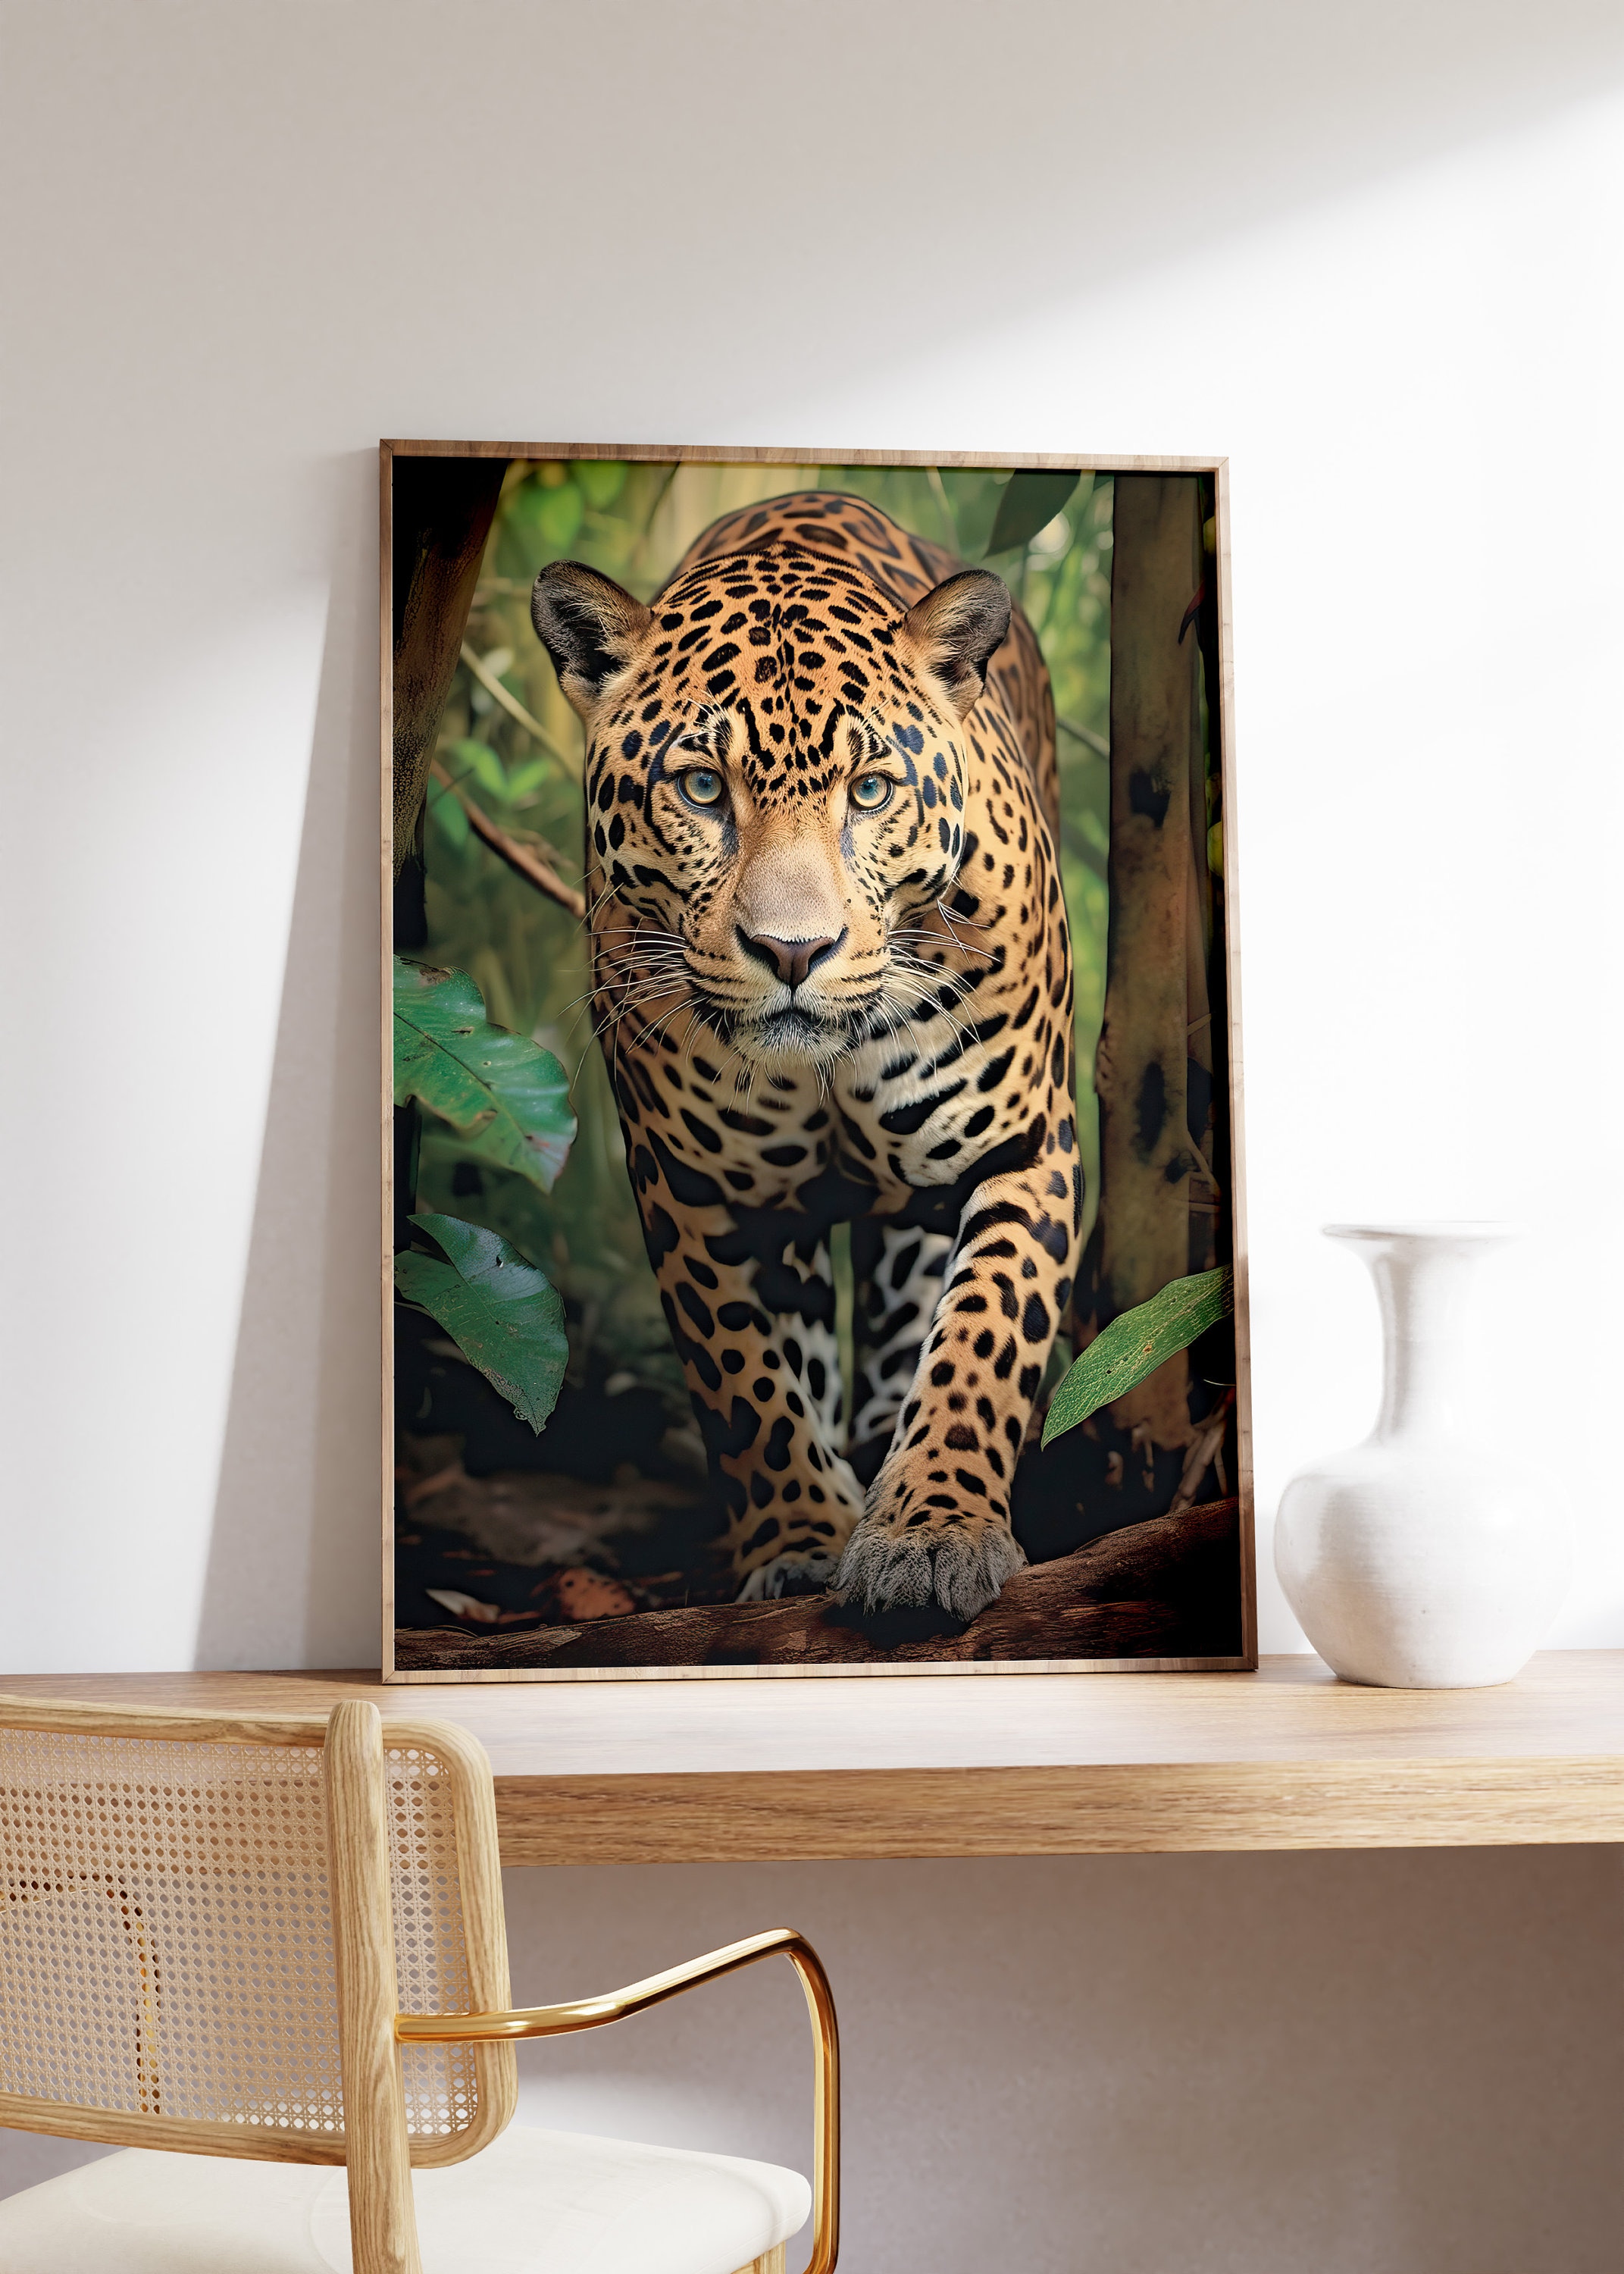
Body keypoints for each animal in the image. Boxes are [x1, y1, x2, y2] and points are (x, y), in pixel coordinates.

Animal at [530, 488, 1080, 1624]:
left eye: (869, 792)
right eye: (701, 788)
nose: (793, 951)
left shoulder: (1020, 1149)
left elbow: (981, 1337)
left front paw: (928, 1531)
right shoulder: (696, 1189)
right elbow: (748, 1383)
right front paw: (797, 1541)